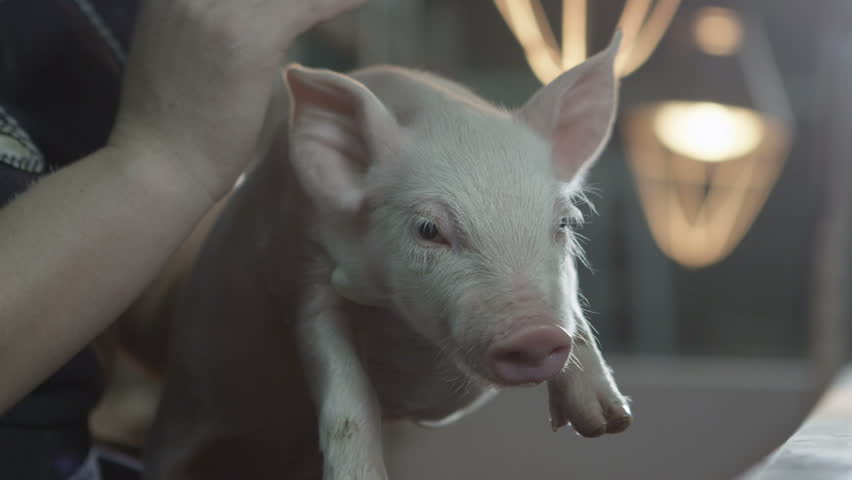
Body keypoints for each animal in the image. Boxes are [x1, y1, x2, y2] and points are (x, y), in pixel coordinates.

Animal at [140, 33, 631, 480]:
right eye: (428, 230)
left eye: (564, 223)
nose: (535, 333)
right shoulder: (302, 270)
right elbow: (345, 394)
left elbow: (574, 313)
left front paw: (610, 422)